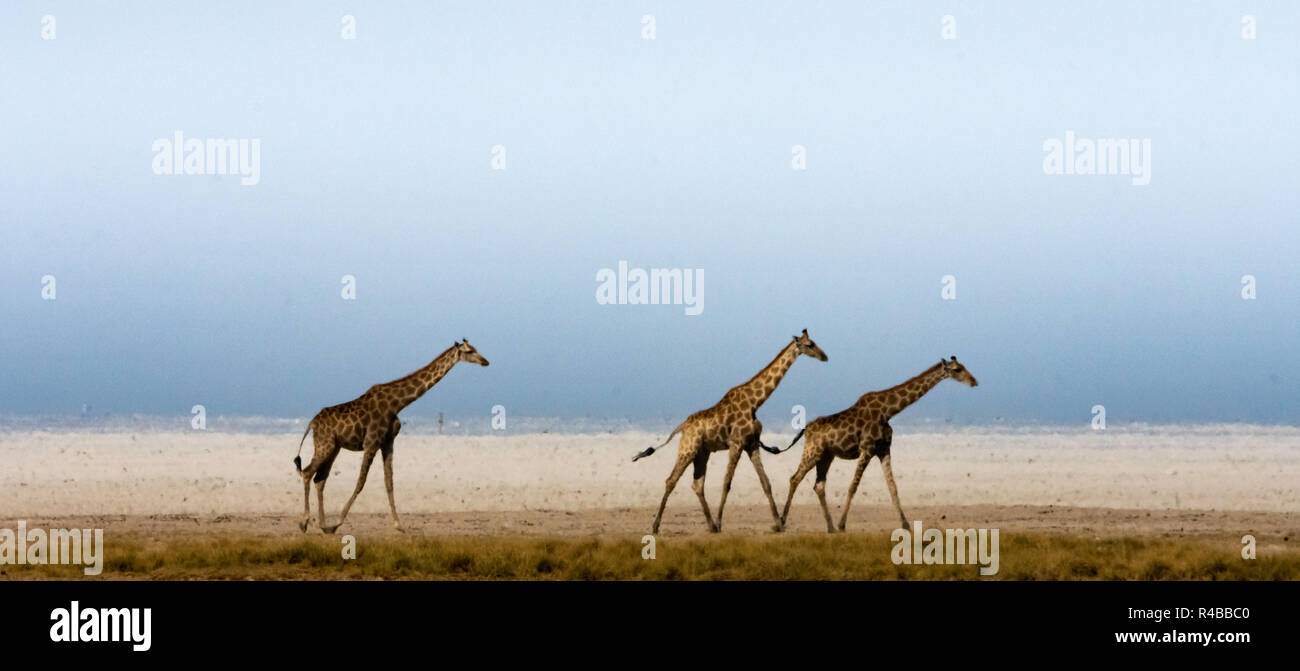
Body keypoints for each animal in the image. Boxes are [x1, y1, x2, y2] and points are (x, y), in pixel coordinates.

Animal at [292, 339, 490, 534]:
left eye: (475, 348)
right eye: (470, 351)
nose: (485, 362)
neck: (397, 404)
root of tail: (312, 422)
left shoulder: (388, 442)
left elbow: (389, 482)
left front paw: (398, 525)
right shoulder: (371, 442)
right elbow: (361, 482)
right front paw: (338, 522)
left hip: (334, 447)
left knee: (320, 479)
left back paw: (323, 525)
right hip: (325, 444)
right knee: (307, 472)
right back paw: (305, 523)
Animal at [633, 330, 829, 533]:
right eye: (810, 345)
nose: (825, 357)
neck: (754, 402)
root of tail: (682, 426)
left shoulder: (752, 444)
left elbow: (766, 482)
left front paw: (779, 524)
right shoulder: (736, 443)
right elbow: (726, 483)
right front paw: (721, 523)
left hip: (702, 453)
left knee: (697, 484)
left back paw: (710, 525)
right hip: (688, 449)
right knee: (671, 480)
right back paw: (656, 526)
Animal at [778, 356, 978, 533]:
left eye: (964, 366)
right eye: (957, 369)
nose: (974, 381)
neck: (887, 411)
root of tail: (806, 429)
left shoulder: (884, 450)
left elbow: (892, 487)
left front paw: (905, 524)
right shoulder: (867, 449)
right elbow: (853, 486)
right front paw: (843, 525)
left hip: (826, 456)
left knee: (818, 485)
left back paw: (830, 527)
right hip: (813, 452)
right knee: (795, 478)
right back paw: (781, 523)